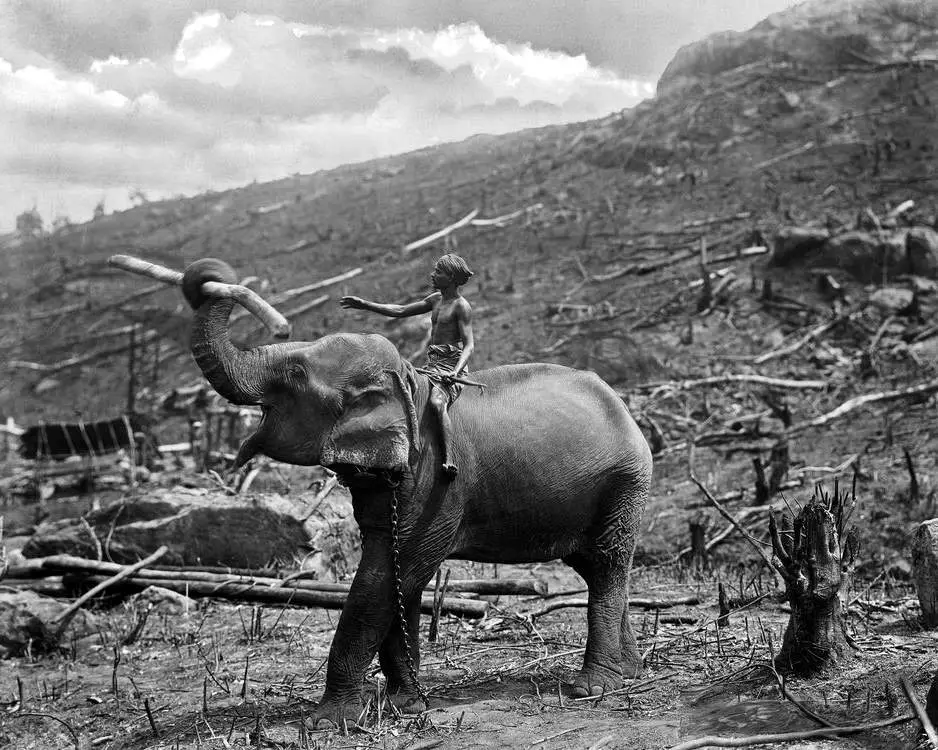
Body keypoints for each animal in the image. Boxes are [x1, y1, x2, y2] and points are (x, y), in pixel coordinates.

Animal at [181, 258, 652, 728]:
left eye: (295, 375)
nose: (278, 324)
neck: (409, 384)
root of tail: (619, 401)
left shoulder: (434, 486)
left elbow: (391, 574)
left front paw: (328, 722)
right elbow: (397, 574)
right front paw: (405, 705)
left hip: (625, 480)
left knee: (608, 563)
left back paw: (593, 688)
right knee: (595, 565)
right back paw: (628, 671)